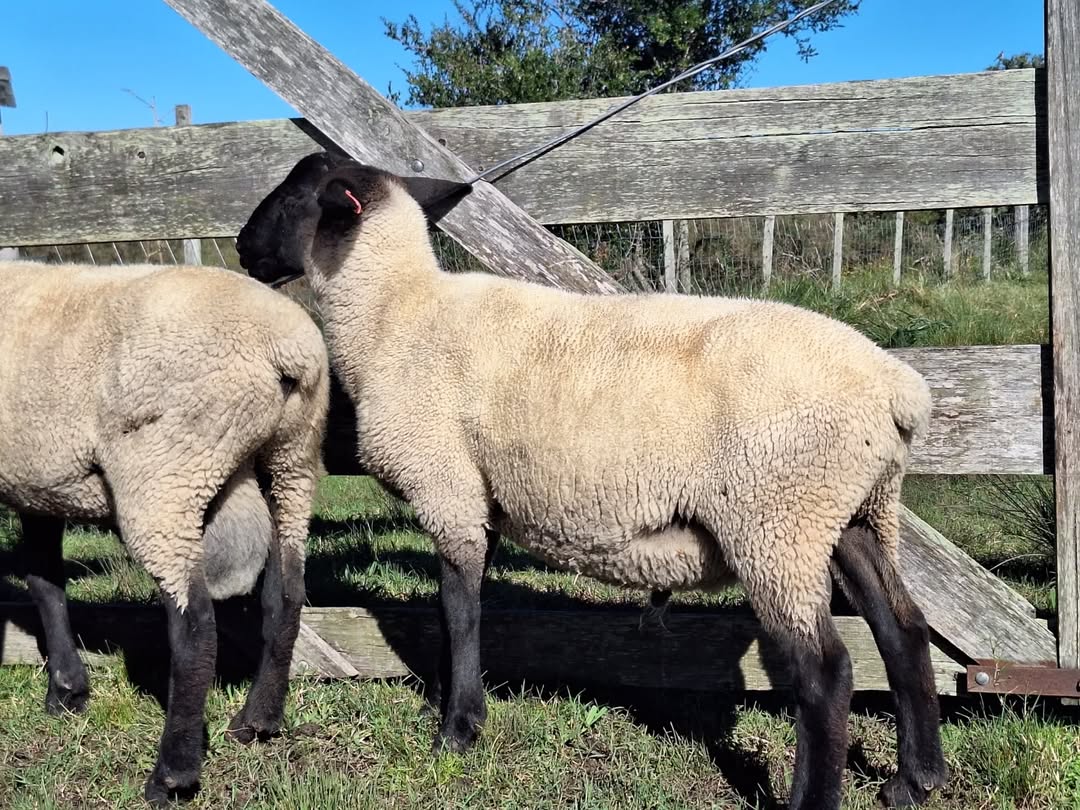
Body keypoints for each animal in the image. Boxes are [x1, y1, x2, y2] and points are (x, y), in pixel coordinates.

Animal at [0, 259, 330, 805]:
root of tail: (287, 349)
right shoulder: (41, 479)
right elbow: (45, 581)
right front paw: (67, 691)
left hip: (164, 473)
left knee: (194, 626)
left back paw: (172, 774)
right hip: (291, 459)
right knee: (286, 593)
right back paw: (257, 721)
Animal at [235, 151, 948, 810]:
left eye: (293, 195)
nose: (241, 248)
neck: (395, 316)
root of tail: (897, 390)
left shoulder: (447, 485)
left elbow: (458, 611)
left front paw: (458, 731)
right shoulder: (481, 498)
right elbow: (459, 607)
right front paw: (453, 705)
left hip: (775, 520)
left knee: (826, 670)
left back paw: (816, 797)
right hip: (849, 512)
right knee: (903, 631)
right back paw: (915, 780)